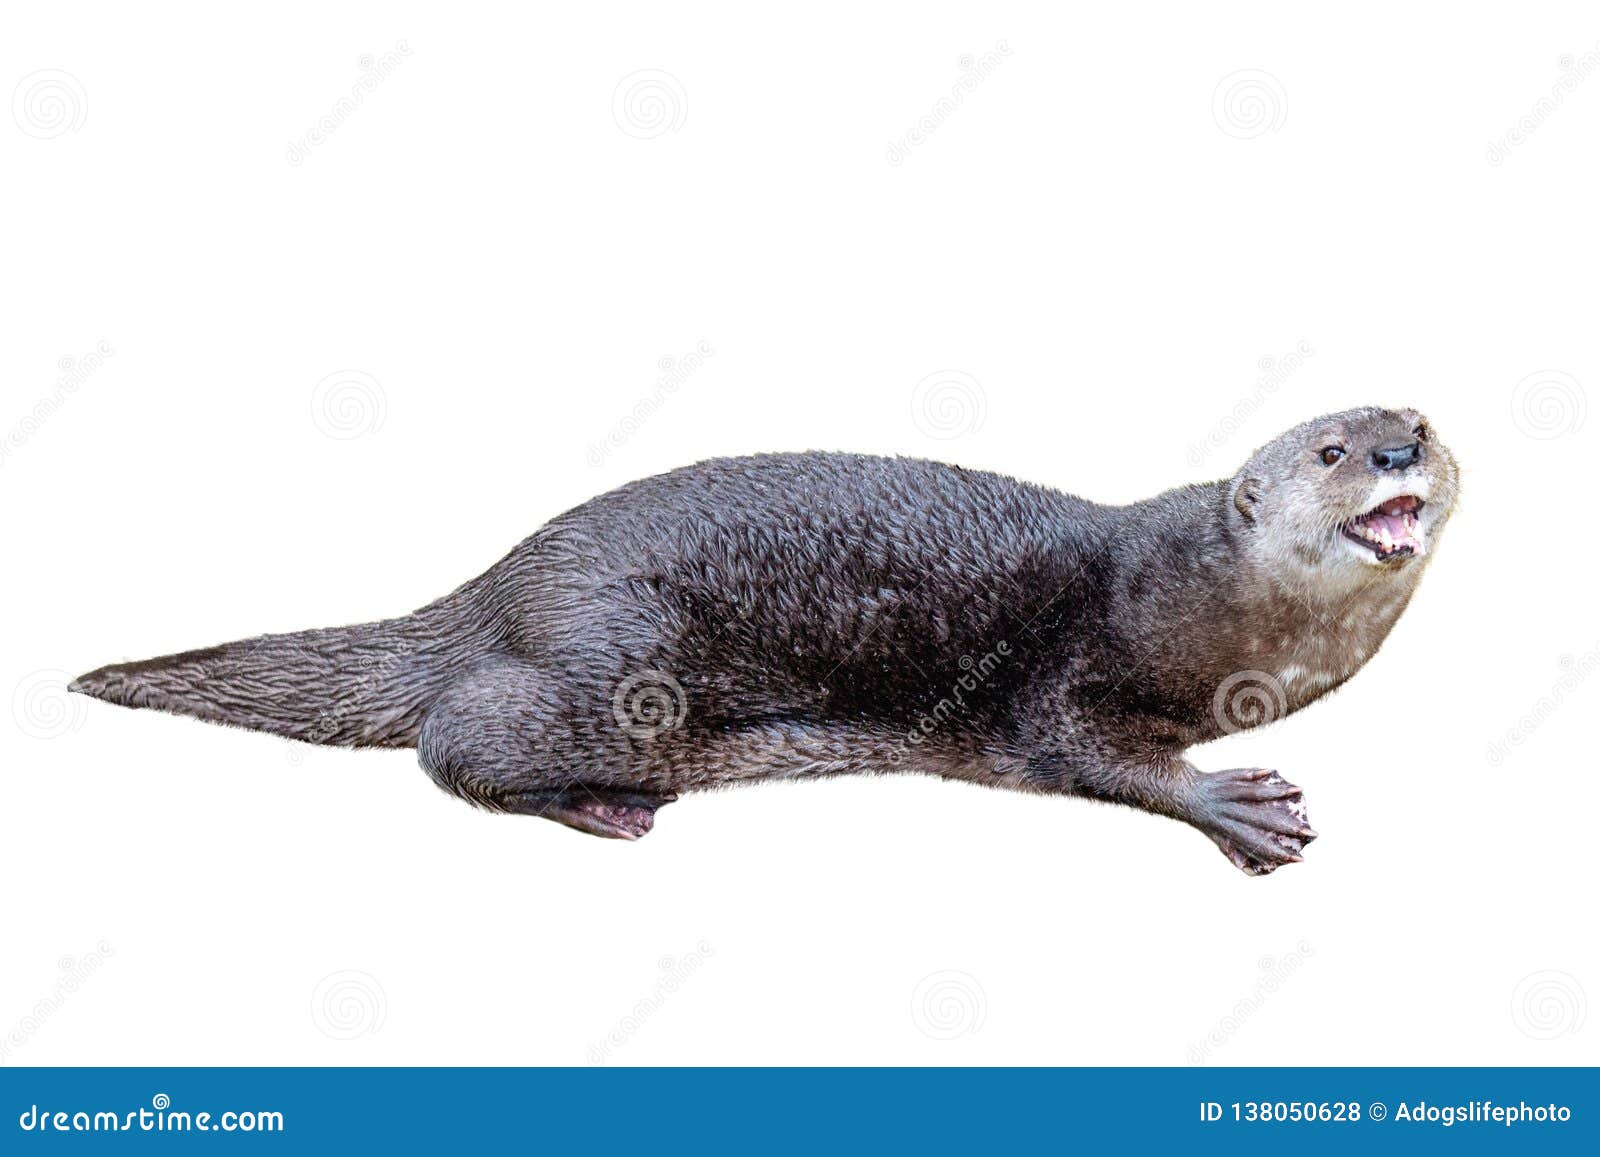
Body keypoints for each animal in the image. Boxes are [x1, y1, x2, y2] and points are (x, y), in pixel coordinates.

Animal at [71, 406, 1457, 874]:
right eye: (1329, 451)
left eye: (1417, 421)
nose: (1400, 448)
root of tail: (506, 575)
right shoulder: (1065, 666)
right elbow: (1084, 749)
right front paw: (1236, 804)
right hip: (619, 664)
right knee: (454, 734)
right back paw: (601, 806)